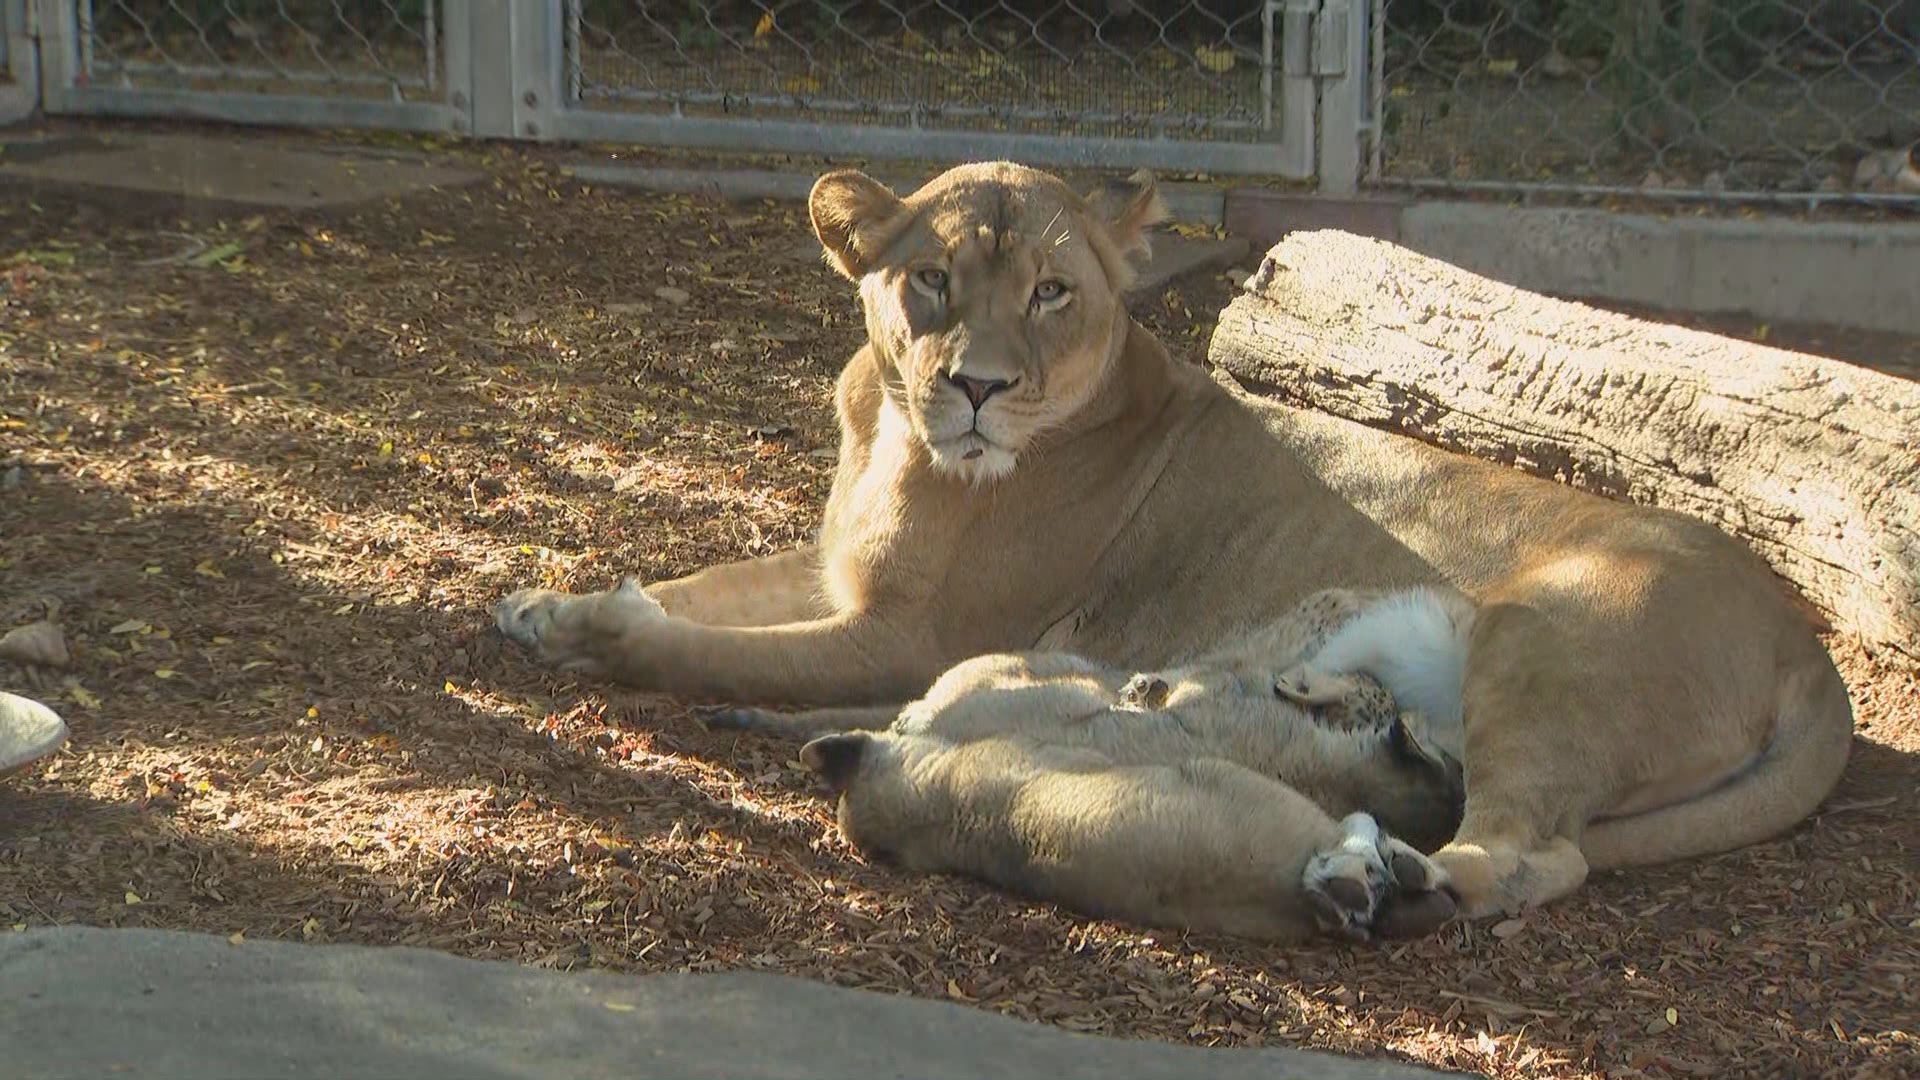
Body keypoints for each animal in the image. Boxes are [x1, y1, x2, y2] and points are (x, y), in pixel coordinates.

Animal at [495, 161, 1854, 928]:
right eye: (930, 280)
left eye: (1053, 291)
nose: (978, 387)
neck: (892, 426)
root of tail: (1814, 652)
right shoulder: (837, 571)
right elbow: (703, 585)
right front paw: (546, 603)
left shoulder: (909, 634)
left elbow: (709, 653)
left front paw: (589, 636)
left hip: (1548, 636)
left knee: (1532, 853)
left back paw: (1396, 878)